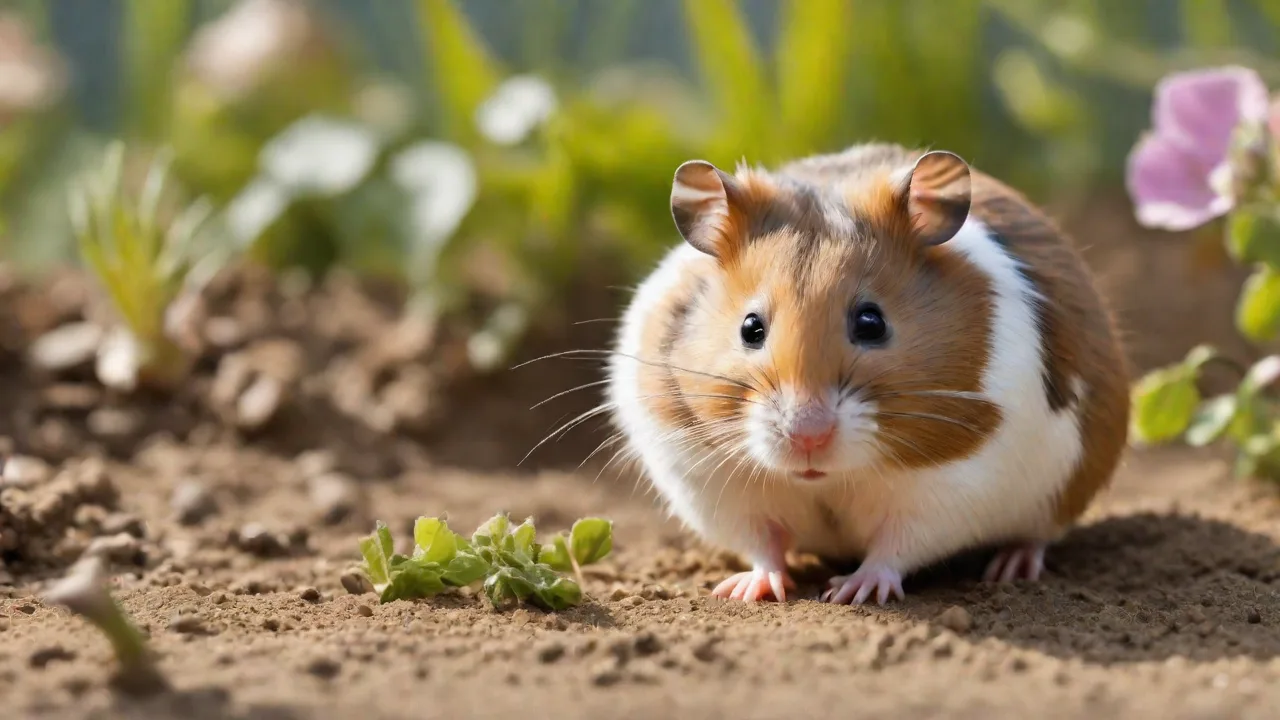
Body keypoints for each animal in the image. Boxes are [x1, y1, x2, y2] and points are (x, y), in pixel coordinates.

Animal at [605, 142, 1128, 605]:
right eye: (750, 328)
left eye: (871, 322)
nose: (807, 438)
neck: (826, 480)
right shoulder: (715, 486)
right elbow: (762, 544)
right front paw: (746, 591)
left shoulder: (950, 489)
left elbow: (894, 548)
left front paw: (851, 593)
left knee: (1036, 535)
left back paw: (1012, 568)